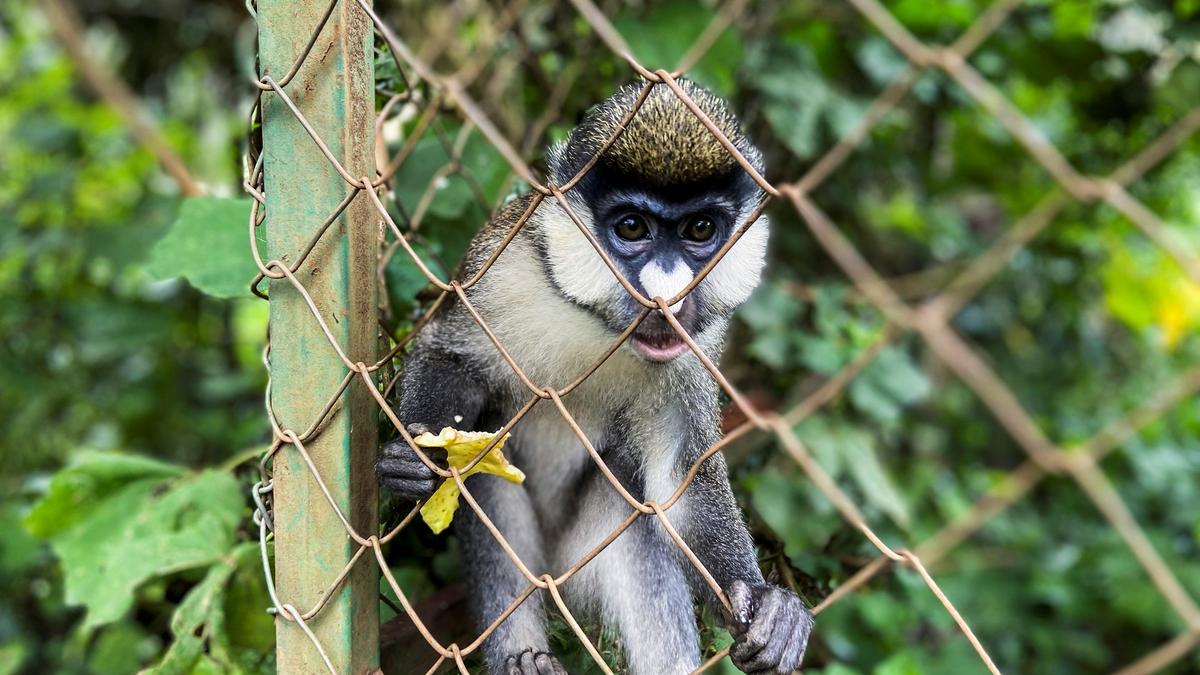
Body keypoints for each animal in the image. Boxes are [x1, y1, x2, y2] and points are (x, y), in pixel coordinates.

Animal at [378, 79, 812, 675]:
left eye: (701, 229)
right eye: (631, 227)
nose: (665, 295)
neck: (600, 327)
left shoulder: (694, 350)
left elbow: (675, 488)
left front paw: (767, 604)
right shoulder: (503, 269)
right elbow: (452, 356)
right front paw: (411, 458)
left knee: (630, 502)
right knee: (488, 463)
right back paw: (523, 655)